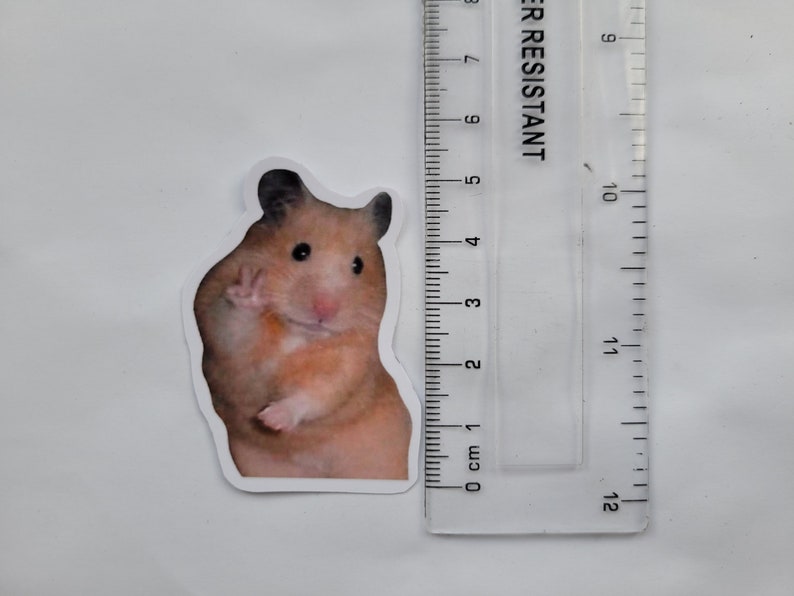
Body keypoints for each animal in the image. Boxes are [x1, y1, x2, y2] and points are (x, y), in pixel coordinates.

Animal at [193, 169, 411, 479]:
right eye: (300, 252)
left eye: (358, 265)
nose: (324, 311)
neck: (299, 334)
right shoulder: (219, 331)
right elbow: (235, 327)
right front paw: (250, 291)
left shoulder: (352, 364)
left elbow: (319, 393)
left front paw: (271, 419)